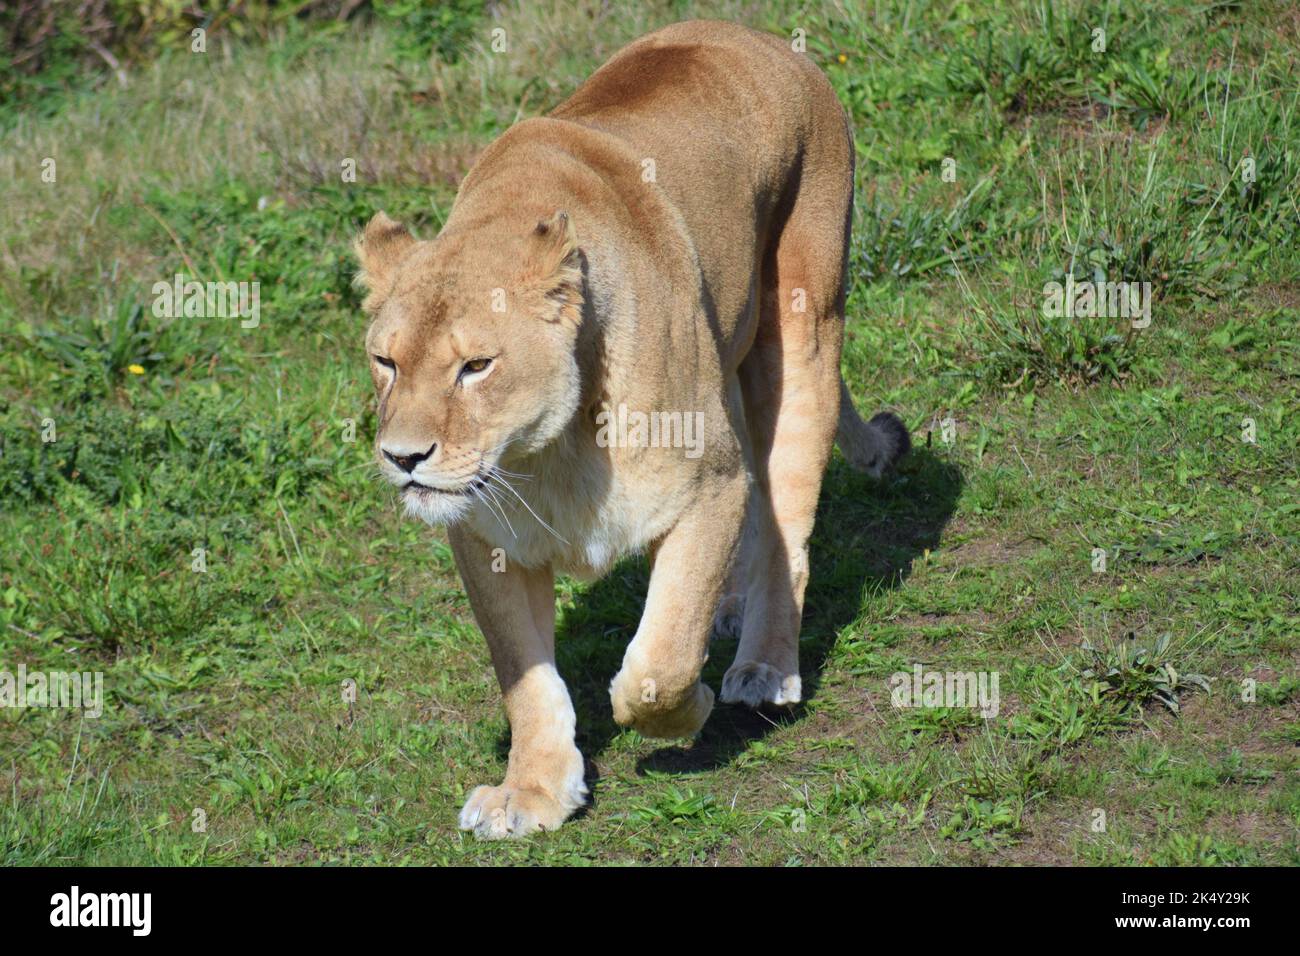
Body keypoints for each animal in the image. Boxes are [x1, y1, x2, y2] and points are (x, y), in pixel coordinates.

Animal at [356, 20, 910, 839]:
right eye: (385, 361)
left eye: (476, 366)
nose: (403, 457)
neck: (547, 453)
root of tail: (761, 37)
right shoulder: (484, 536)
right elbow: (525, 678)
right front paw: (532, 793)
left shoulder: (707, 484)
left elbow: (659, 662)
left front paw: (689, 707)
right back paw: (731, 609)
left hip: (803, 333)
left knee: (787, 515)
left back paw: (763, 667)